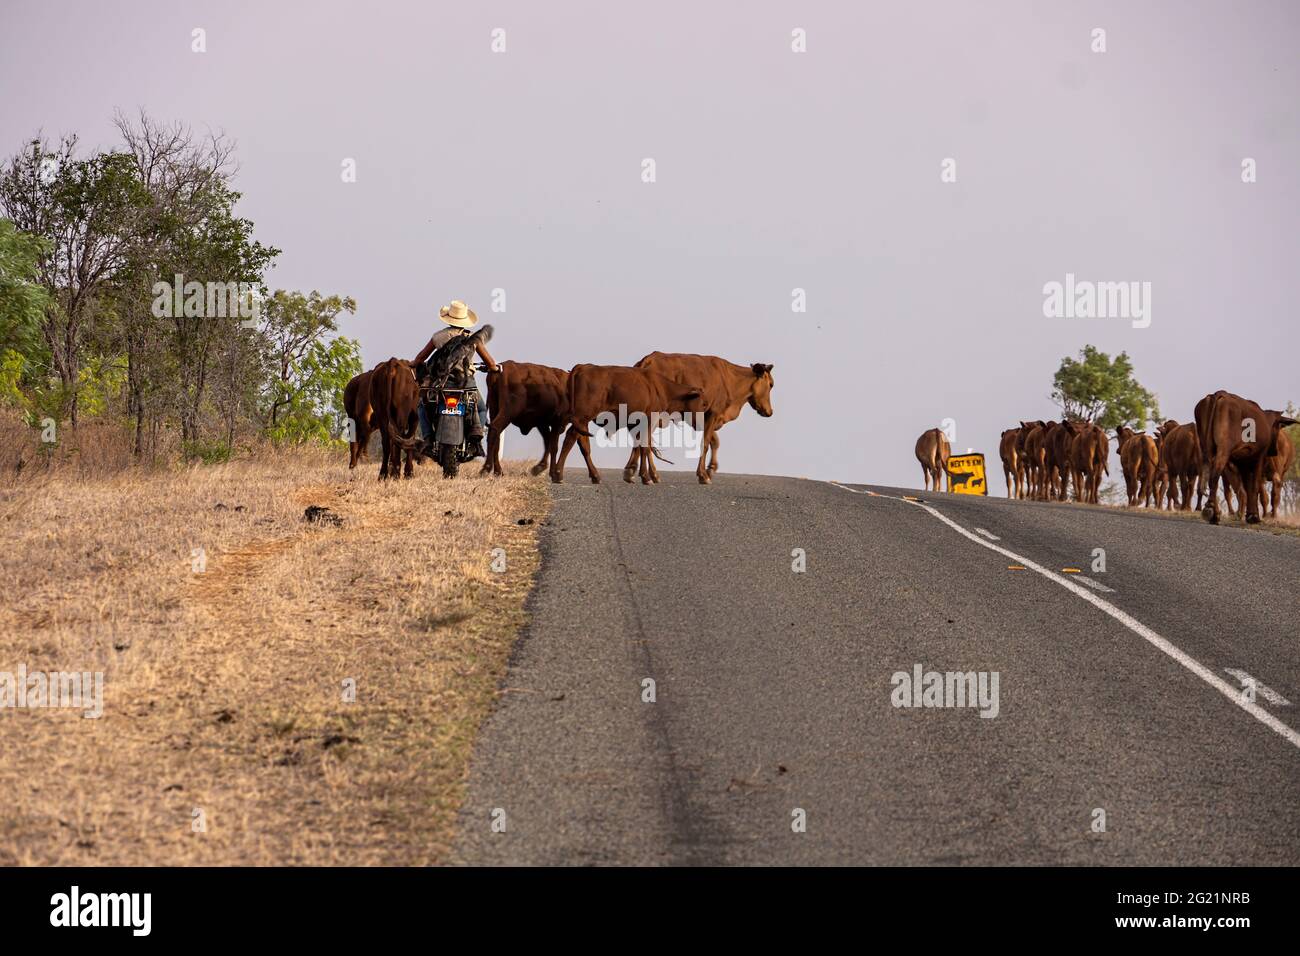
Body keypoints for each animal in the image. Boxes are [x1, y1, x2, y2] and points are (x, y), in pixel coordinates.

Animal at [554, 364, 707, 484]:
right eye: (703, 404)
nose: (701, 425)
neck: (661, 388)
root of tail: (582, 367)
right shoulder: (649, 420)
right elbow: (645, 447)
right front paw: (646, 476)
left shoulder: (637, 424)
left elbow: (639, 445)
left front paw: (633, 473)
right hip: (583, 417)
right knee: (571, 438)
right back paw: (558, 474)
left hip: (581, 422)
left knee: (582, 443)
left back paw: (595, 476)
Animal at [619, 353, 774, 485]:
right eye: (771, 384)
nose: (770, 412)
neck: (732, 380)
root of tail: (648, 359)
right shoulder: (712, 413)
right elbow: (705, 443)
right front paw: (703, 475)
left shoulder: (702, 417)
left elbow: (715, 441)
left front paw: (711, 468)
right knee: (644, 440)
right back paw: (645, 473)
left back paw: (638, 472)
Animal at [1194, 390, 1297, 524]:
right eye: (1279, 427)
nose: (1274, 450)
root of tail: (1219, 393)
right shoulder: (1258, 457)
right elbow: (1254, 486)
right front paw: (1253, 516)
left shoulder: (1242, 461)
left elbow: (1247, 487)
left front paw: (1250, 513)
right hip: (1223, 449)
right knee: (1215, 476)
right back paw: (1212, 511)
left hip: (1207, 449)